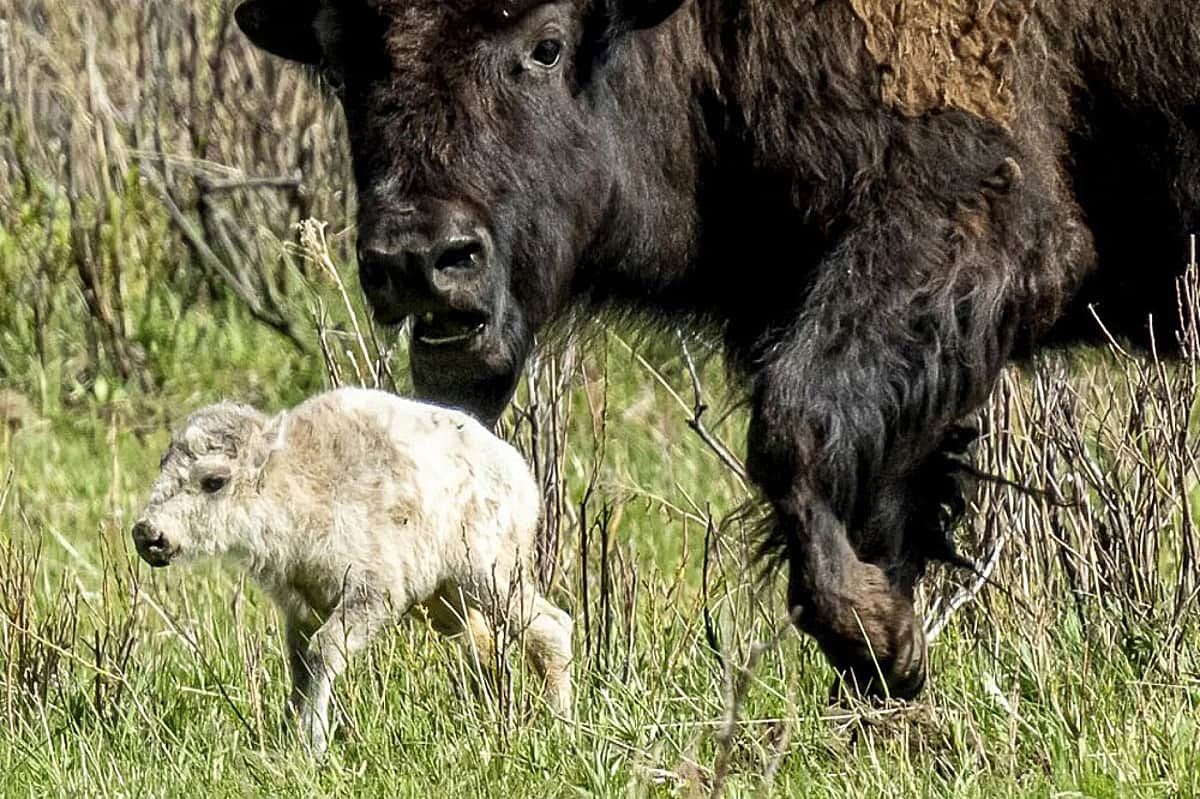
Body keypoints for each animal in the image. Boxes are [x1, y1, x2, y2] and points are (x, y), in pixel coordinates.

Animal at [133, 386, 573, 748]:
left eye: (214, 481)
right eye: (162, 465)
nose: (148, 534)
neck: (297, 481)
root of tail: (519, 472)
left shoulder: (372, 594)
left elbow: (322, 652)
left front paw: (313, 741)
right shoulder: (301, 608)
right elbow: (299, 666)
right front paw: (289, 736)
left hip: (489, 575)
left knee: (550, 626)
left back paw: (558, 722)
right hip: (445, 601)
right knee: (485, 648)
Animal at [231, 0, 1200, 695]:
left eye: (546, 44)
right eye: (342, 62)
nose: (420, 258)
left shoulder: (974, 220)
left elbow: (793, 430)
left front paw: (875, 639)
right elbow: (875, 489)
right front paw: (890, 663)